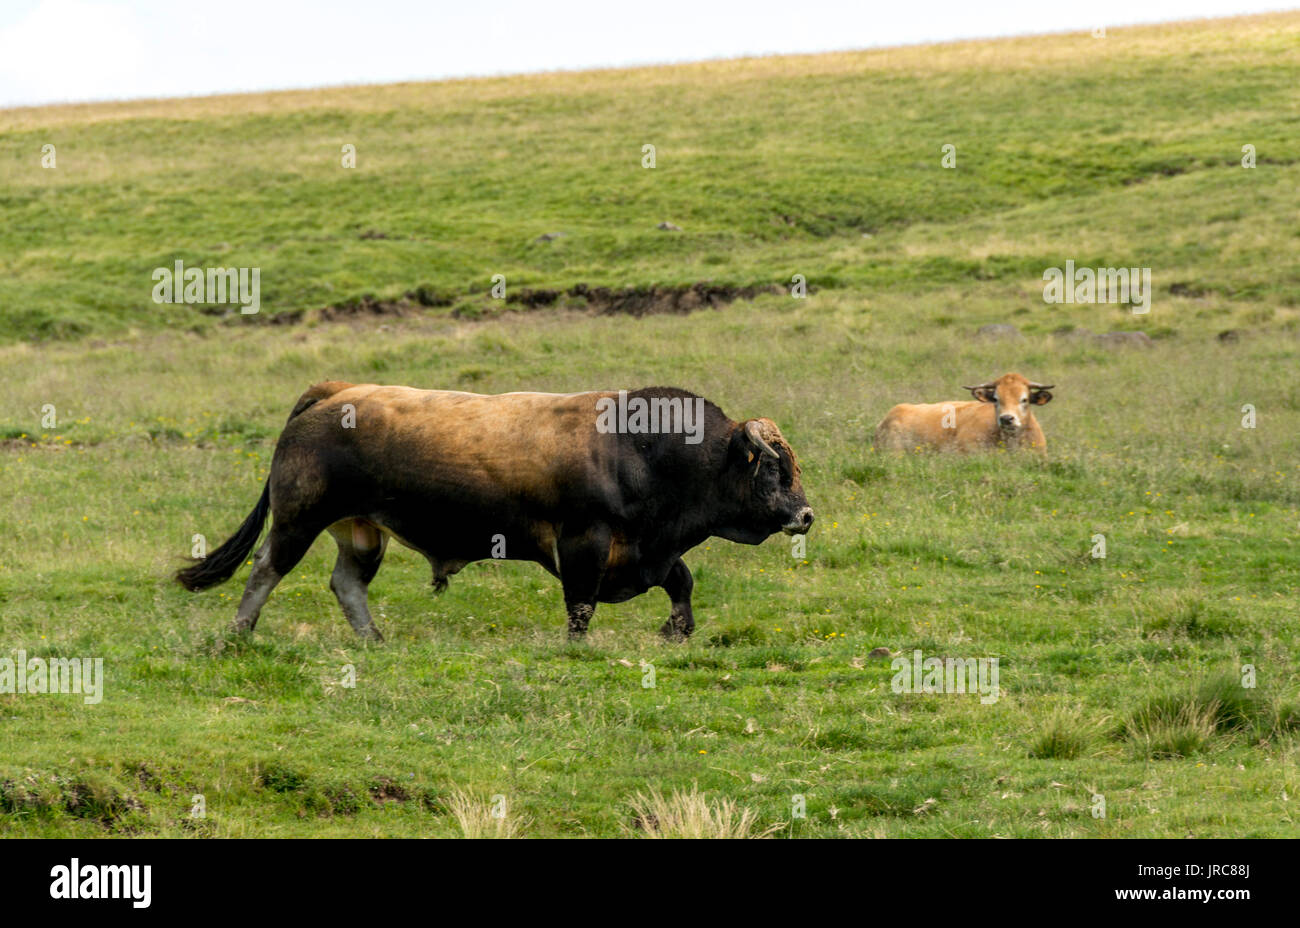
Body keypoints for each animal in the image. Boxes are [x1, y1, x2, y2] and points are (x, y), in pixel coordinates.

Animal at [176, 383, 813, 642]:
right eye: (773, 468)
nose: (806, 516)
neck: (643, 450)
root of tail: (335, 391)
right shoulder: (582, 542)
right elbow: (581, 605)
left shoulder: (649, 550)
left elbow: (681, 581)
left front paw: (677, 629)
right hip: (299, 518)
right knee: (267, 568)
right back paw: (240, 631)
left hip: (361, 530)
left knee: (346, 582)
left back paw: (373, 638)